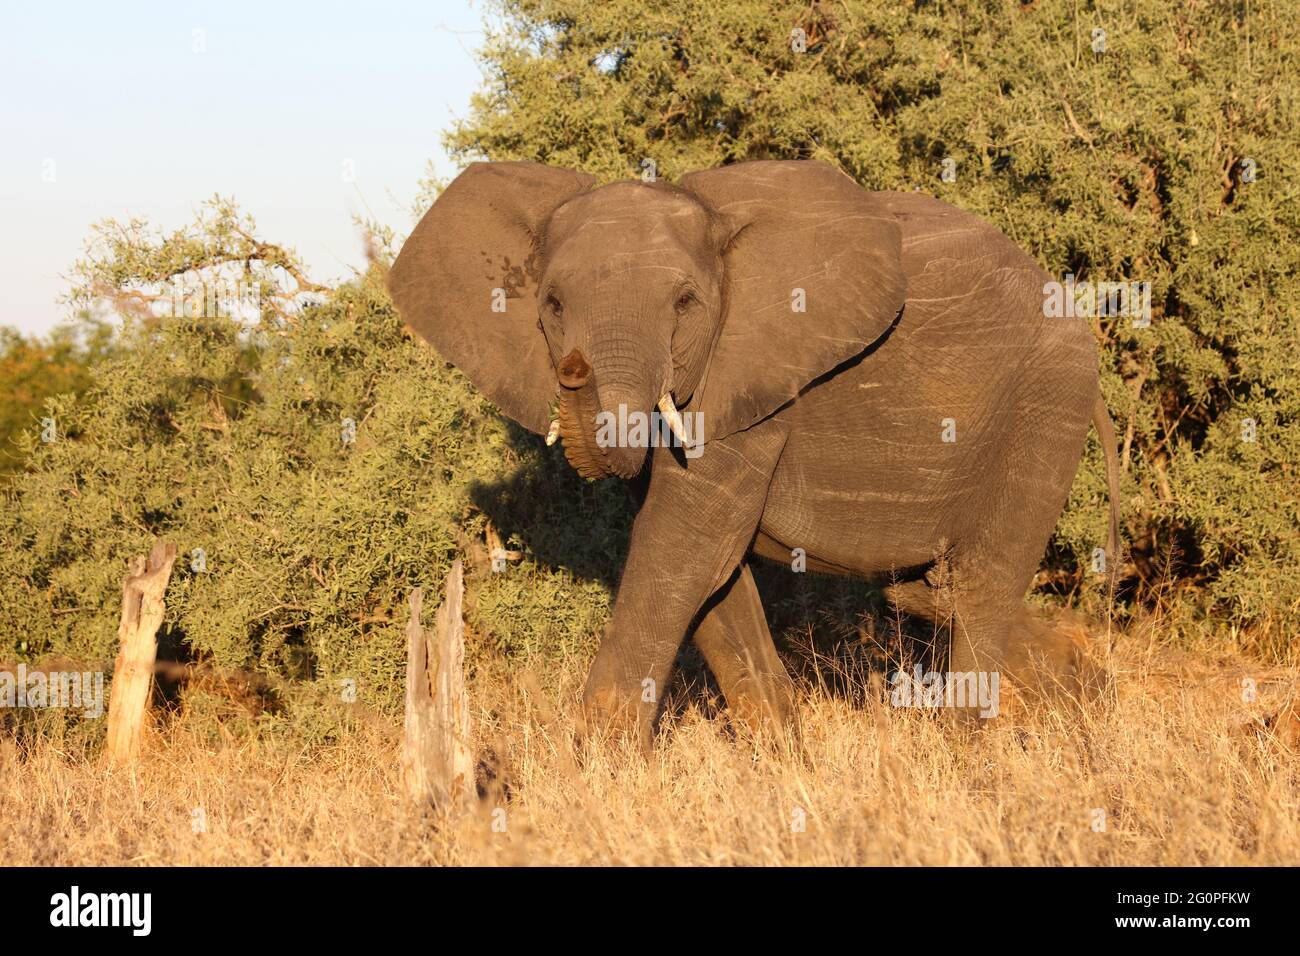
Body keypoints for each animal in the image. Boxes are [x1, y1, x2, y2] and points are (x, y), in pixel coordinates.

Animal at [388, 159, 1120, 746]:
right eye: (553, 304)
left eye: (686, 303)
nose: (570, 366)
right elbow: (713, 575)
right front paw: (786, 765)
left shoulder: (755, 381)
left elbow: (685, 547)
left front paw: (591, 771)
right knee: (937, 589)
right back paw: (1082, 695)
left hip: (1048, 399)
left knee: (981, 585)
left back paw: (965, 762)